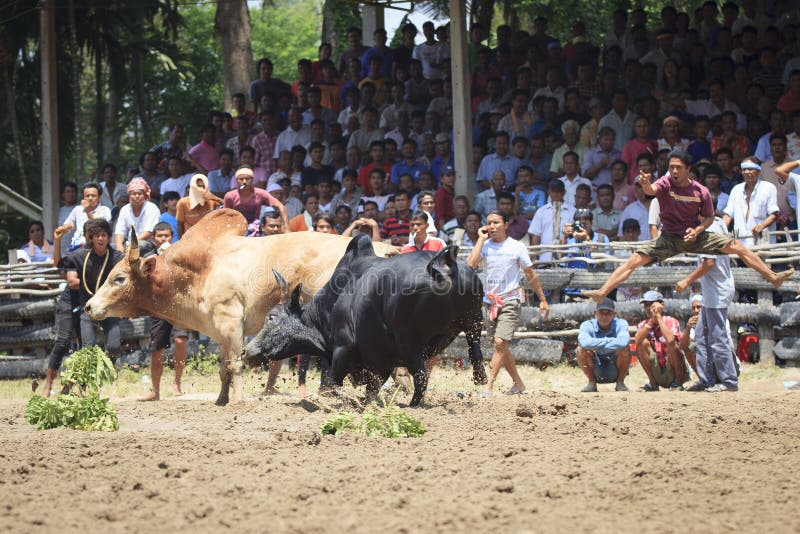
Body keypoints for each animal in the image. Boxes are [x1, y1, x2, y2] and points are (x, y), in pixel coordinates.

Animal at [83, 208, 397, 405]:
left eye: (119, 278)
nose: (88, 306)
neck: (199, 271)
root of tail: (383, 249)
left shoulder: (231, 324)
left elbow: (234, 365)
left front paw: (237, 400)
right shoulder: (220, 332)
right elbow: (224, 368)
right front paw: (221, 400)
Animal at [244, 234, 487, 406]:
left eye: (271, 317)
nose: (247, 351)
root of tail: (439, 265)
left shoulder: (343, 350)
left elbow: (335, 384)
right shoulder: (381, 363)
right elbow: (371, 390)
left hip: (410, 342)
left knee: (420, 378)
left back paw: (413, 405)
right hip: (473, 323)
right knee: (475, 353)